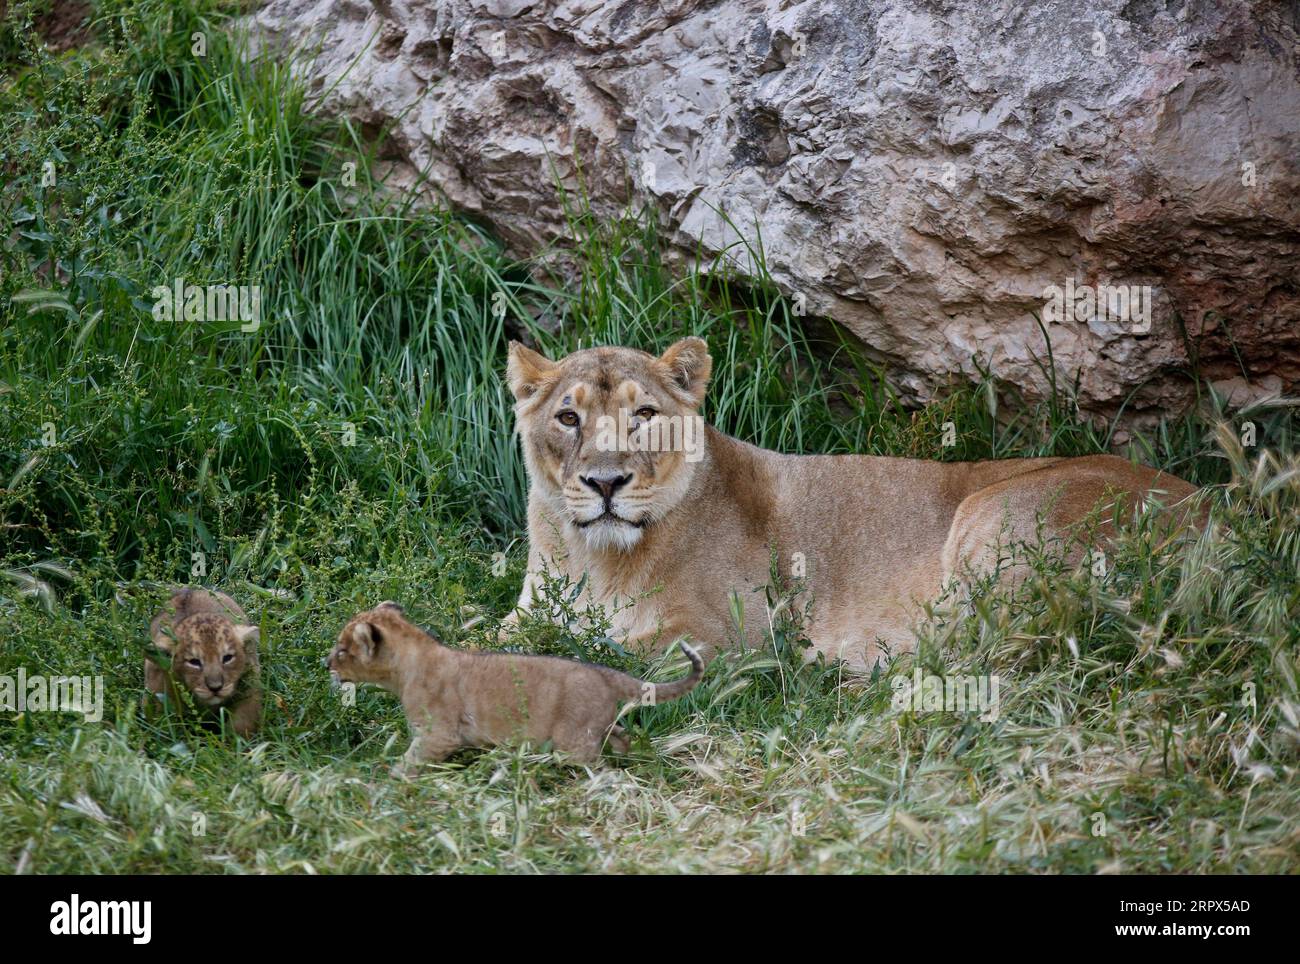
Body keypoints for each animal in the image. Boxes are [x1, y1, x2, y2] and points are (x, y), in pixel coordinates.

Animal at [505, 337, 1202, 670]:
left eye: (645, 416)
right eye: (568, 417)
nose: (606, 483)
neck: (597, 561)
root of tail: (1218, 508)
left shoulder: (728, 634)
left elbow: (596, 650)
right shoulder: (522, 610)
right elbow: (509, 634)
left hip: (994, 512)